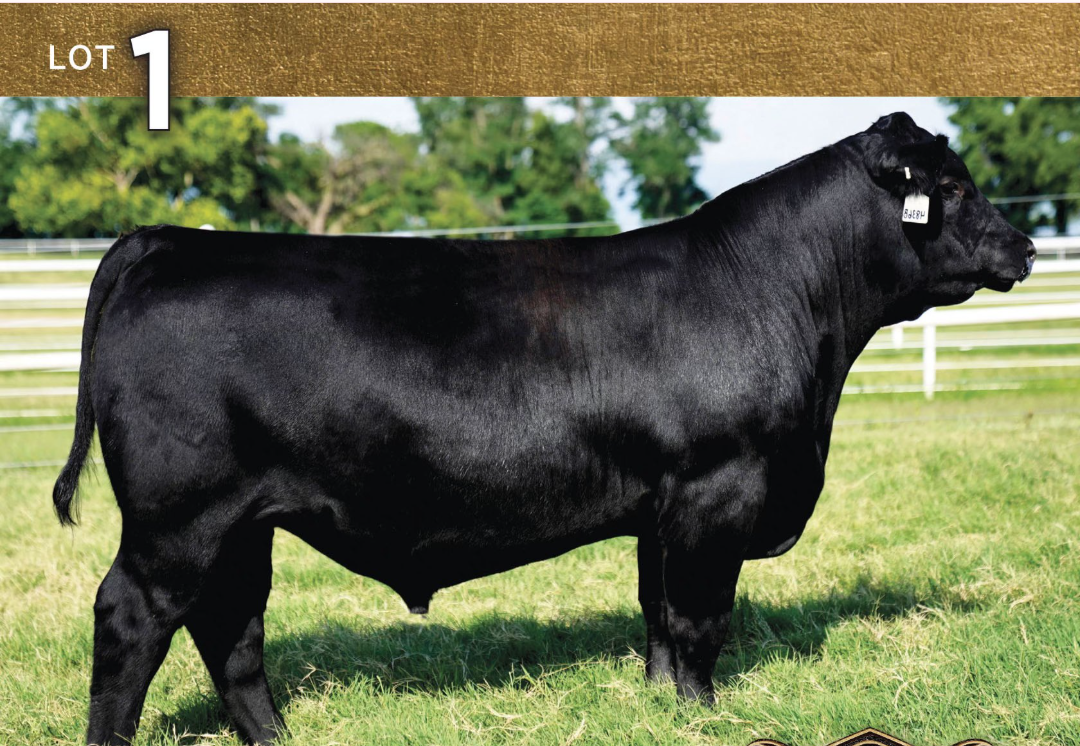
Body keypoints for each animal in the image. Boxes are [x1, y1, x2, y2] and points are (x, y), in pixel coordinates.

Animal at [54, 112, 1034, 745]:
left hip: (240, 525)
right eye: (951, 187)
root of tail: (171, 240)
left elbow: (657, 614)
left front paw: (662, 708)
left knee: (233, 632)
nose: (1024, 248)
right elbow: (700, 620)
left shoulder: (660, 510)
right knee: (132, 619)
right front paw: (705, 716)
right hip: (178, 520)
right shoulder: (717, 492)